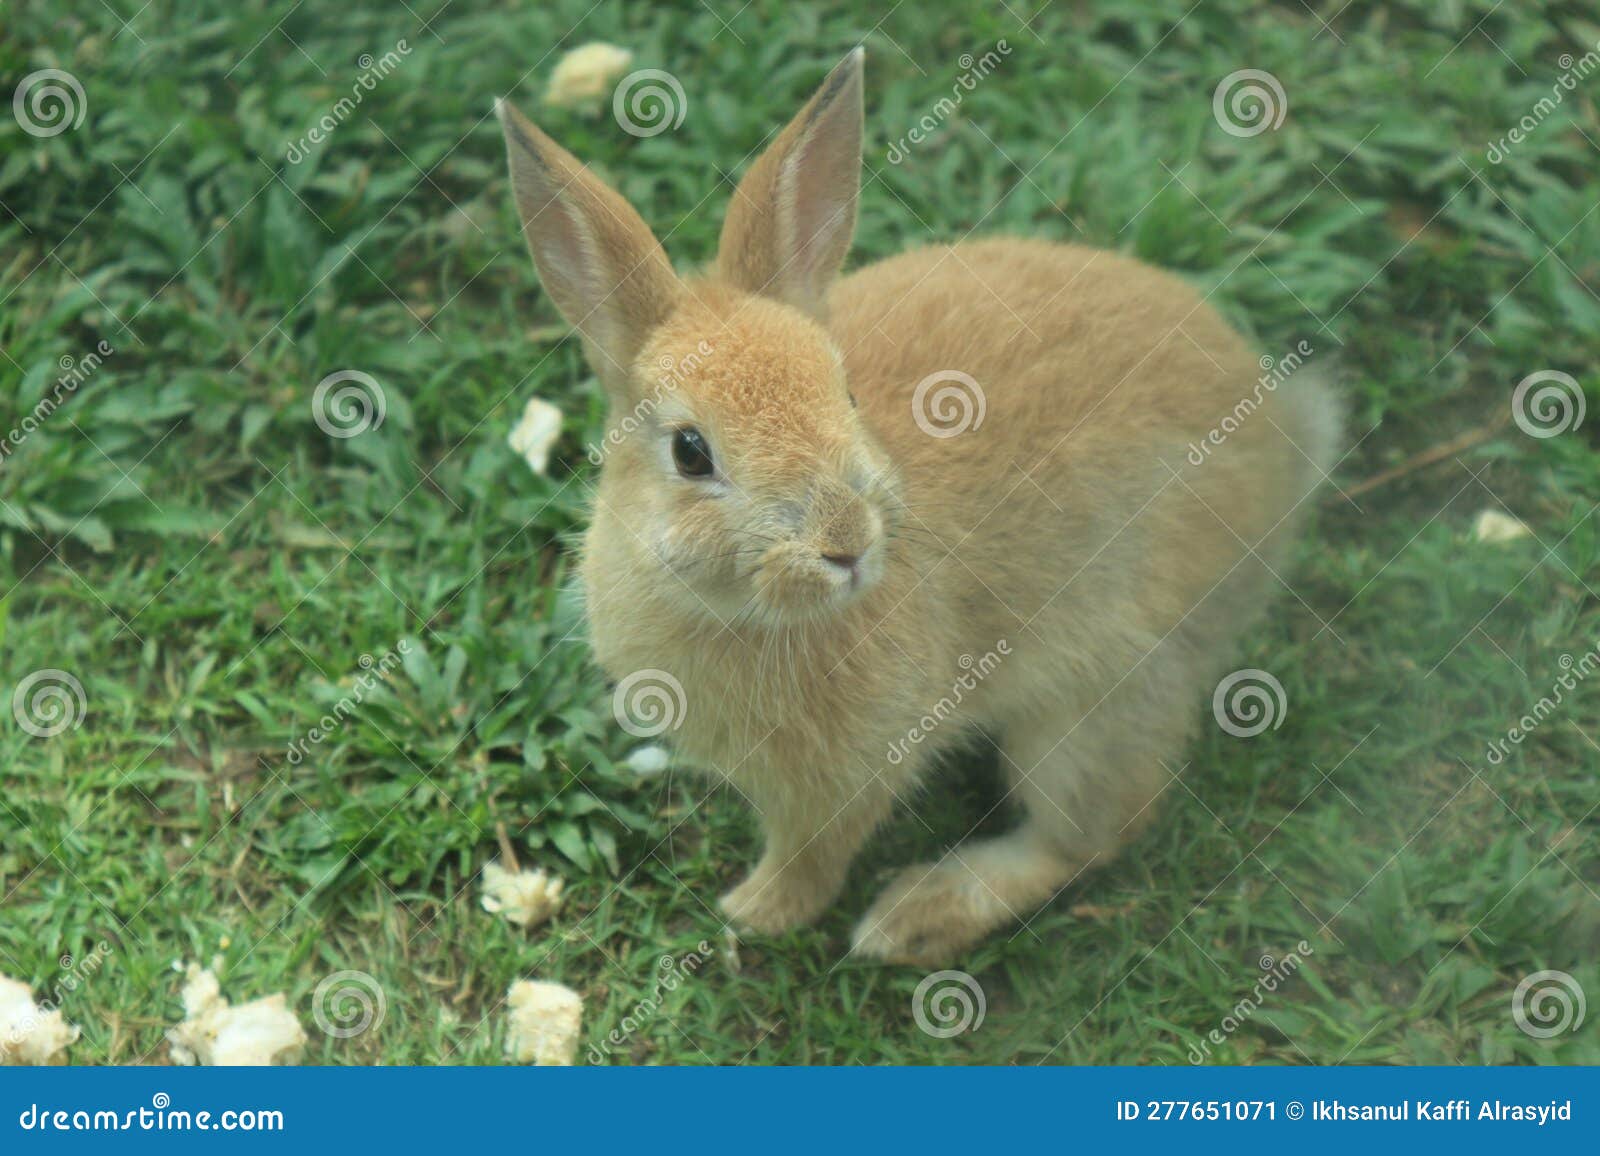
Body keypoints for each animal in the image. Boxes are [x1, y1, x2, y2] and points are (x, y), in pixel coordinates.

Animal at [494, 48, 1341, 966]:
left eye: (847, 395)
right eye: (690, 452)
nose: (846, 546)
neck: (739, 616)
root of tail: (1286, 451)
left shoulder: (848, 779)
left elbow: (814, 855)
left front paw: (755, 912)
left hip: (1098, 704)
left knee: (1089, 834)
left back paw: (918, 916)